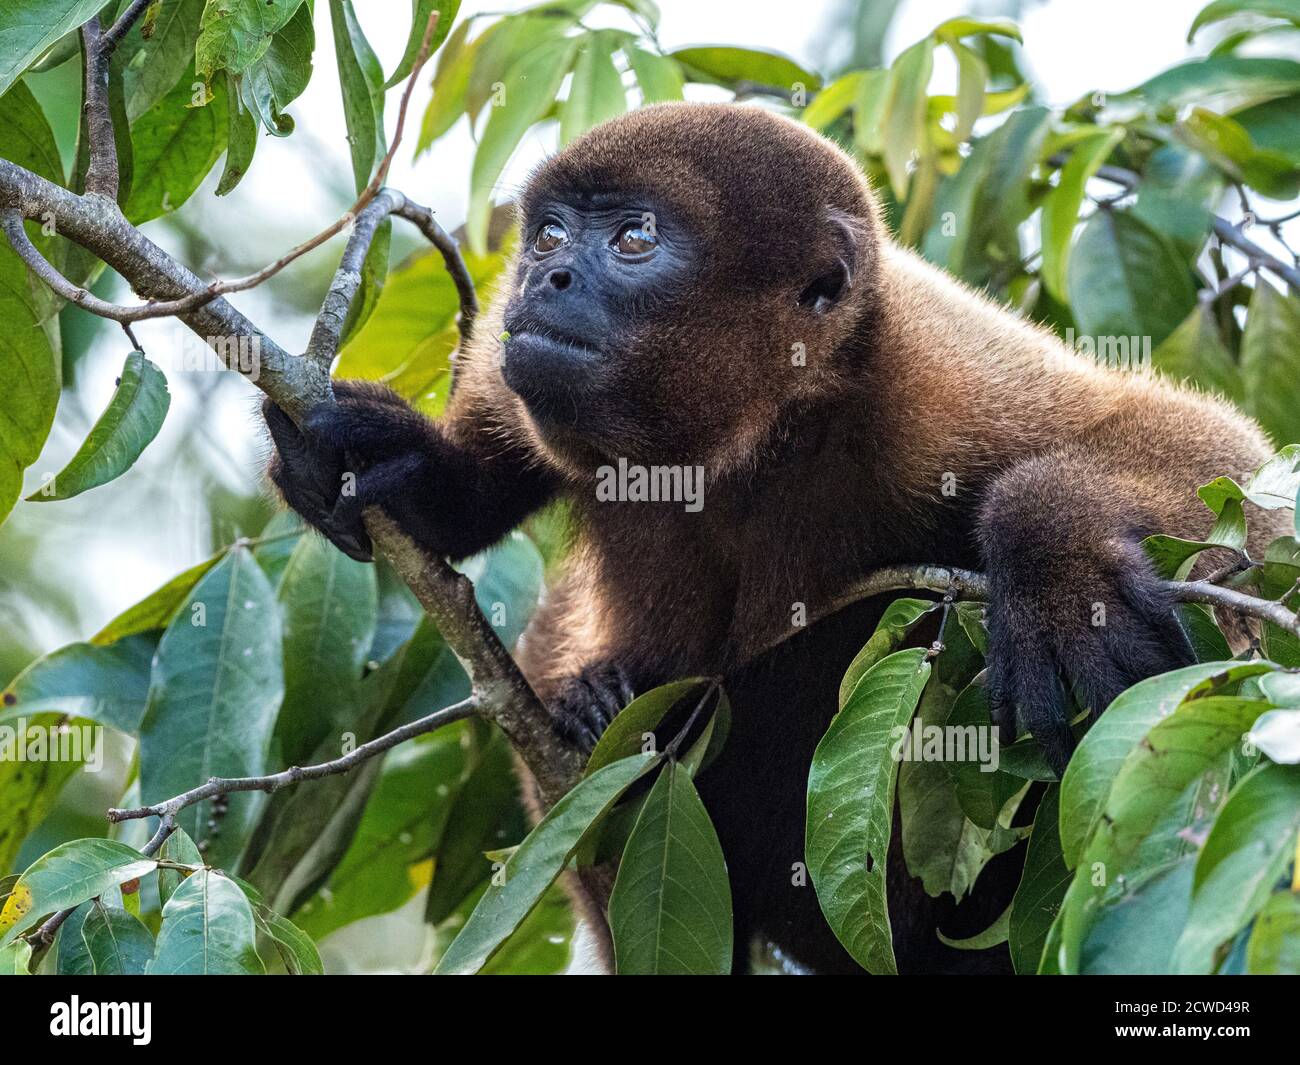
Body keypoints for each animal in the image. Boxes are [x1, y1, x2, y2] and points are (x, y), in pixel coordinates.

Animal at [262, 102, 1285, 974]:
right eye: (548, 234)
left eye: (634, 238)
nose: (543, 276)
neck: (751, 440)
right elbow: (477, 477)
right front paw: (388, 462)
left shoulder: (933, 374)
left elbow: (1214, 465)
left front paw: (1058, 568)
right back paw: (601, 703)